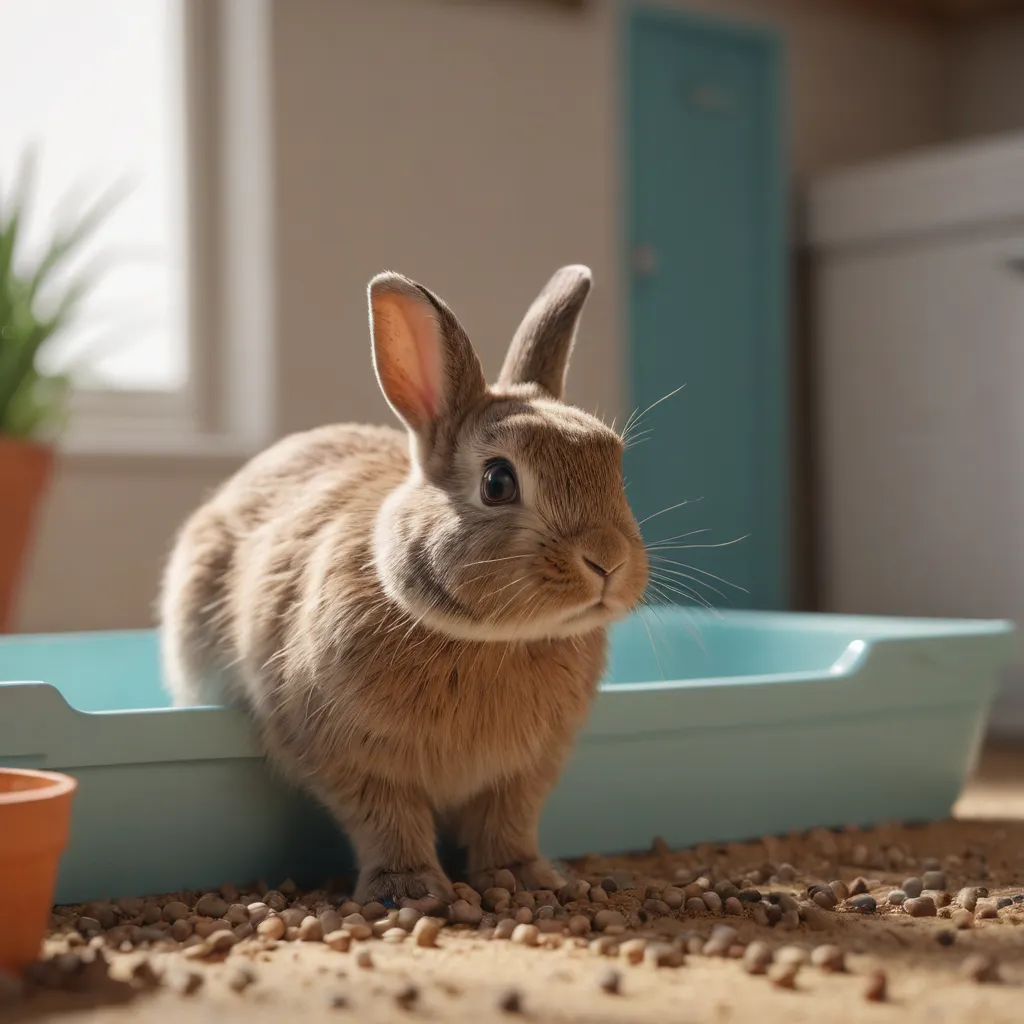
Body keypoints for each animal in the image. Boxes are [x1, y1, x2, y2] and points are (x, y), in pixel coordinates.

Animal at [159, 264, 649, 905]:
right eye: (498, 482)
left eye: (614, 466)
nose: (608, 560)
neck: (490, 641)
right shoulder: (354, 757)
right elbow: (388, 820)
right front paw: (408, 890)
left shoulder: (526, 771)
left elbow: (509, 819)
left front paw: (521, 877)